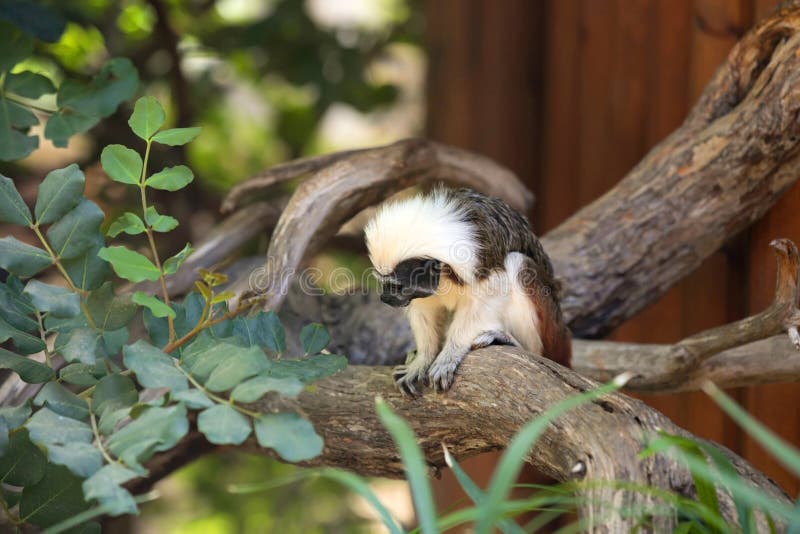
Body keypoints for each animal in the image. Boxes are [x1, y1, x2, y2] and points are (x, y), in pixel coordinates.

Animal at [364, 186, 571, 395]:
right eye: (383, 284)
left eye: (396, 286)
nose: (385, 298)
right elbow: (425, 310)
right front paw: (422, 360)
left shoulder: (481, 263)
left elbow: (491, 294)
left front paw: (449, 355)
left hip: (552, 333)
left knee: (518, 263)